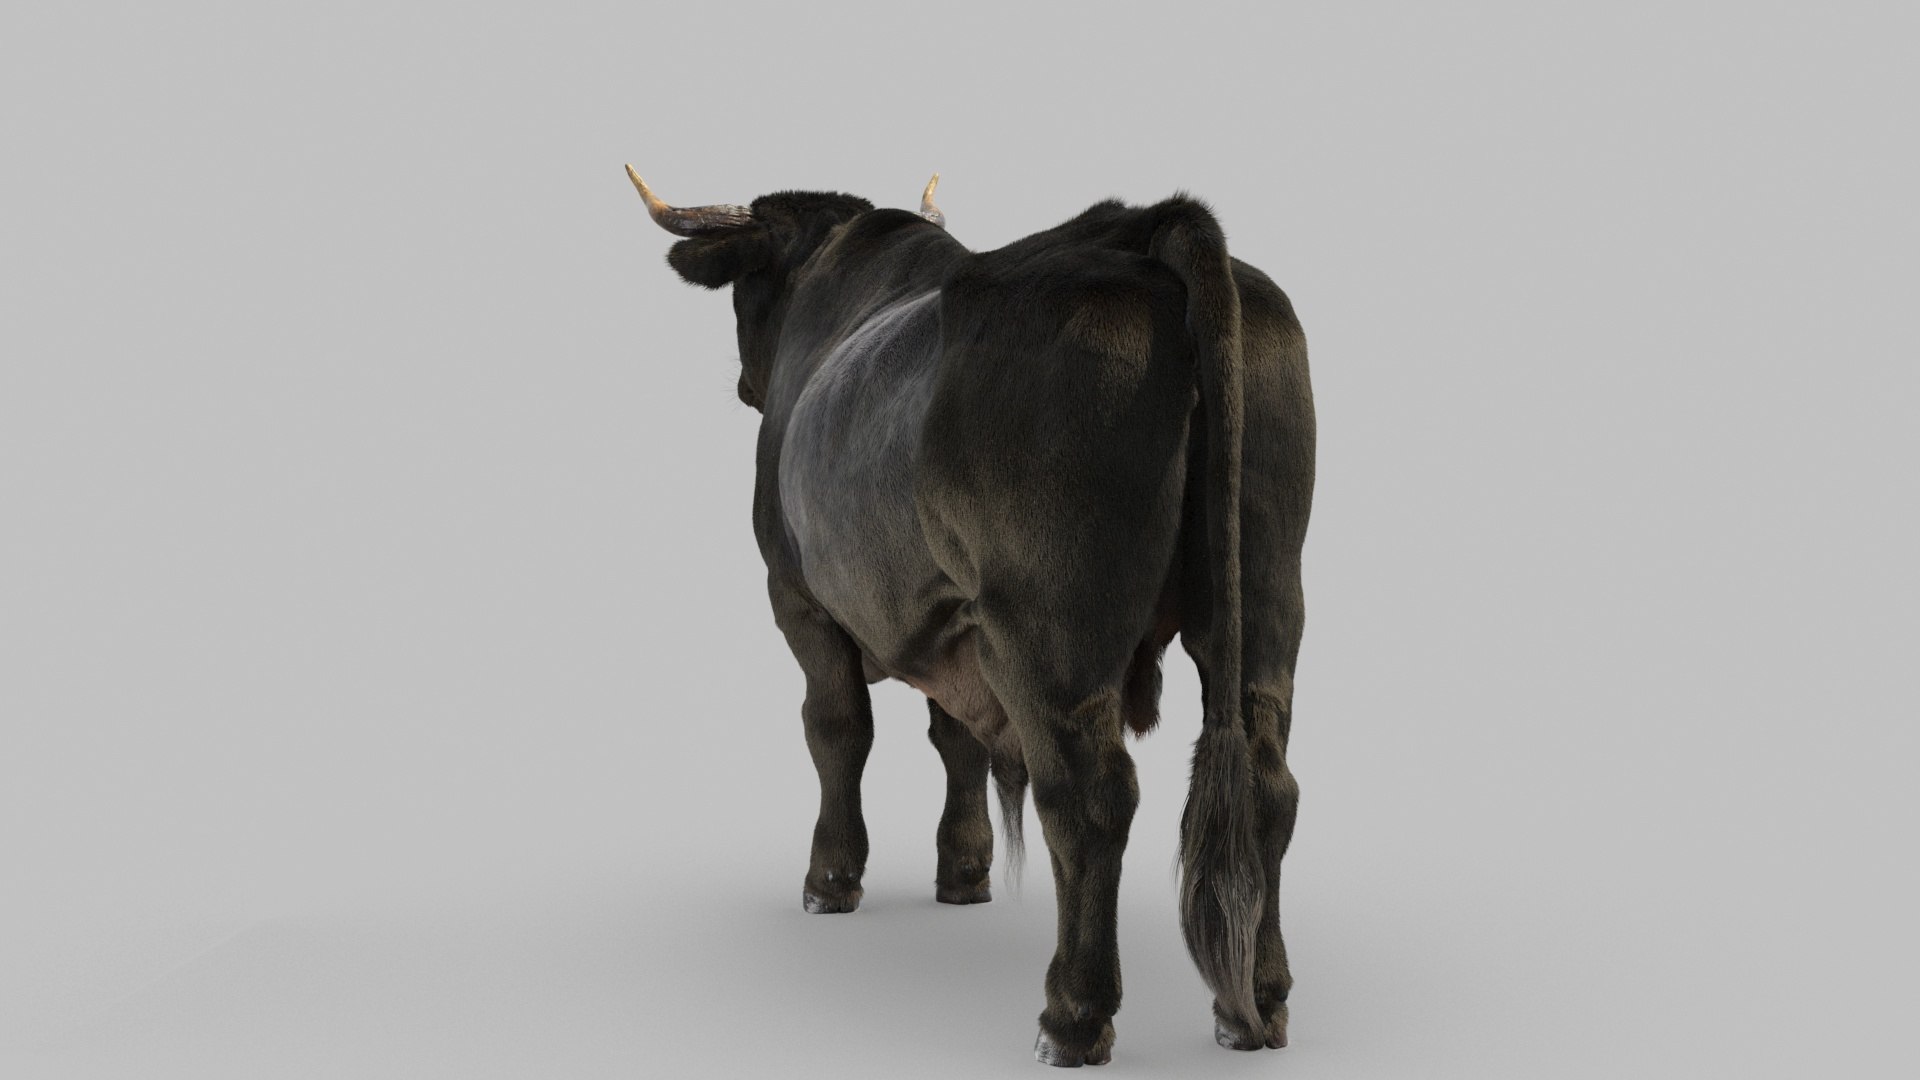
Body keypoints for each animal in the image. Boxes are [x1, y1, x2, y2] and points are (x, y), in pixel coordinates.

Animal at [626, 166, 1315, 1065]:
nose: (746, 383)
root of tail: (1143, 230)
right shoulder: (949, 622)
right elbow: (955, 739)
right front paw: (963, 872)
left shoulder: (799, 598)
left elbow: (837, 730)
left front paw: (830, 879)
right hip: (1268, 596)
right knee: (1268, 782)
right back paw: (1256, 1001)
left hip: (1051, 626)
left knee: (1090, 799)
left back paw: (1072, 1015)